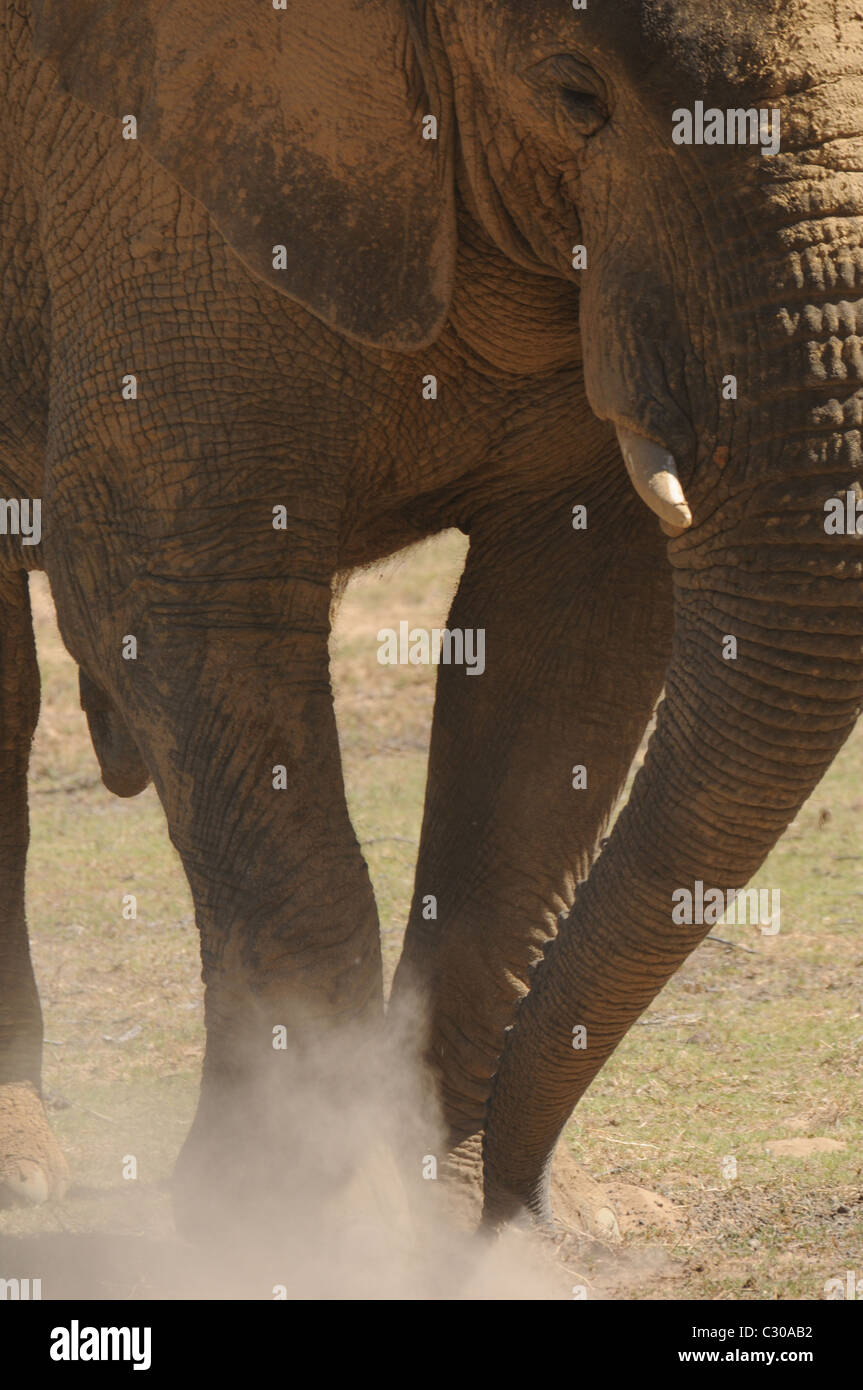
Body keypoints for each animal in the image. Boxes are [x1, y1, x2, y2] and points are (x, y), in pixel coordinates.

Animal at [0, 0, 861, 1239]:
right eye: (575, 95)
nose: (524, 1201)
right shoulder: (138, 181)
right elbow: (169, 575)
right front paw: (297, 1223)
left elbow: (572, 640)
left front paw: (453, 1209)